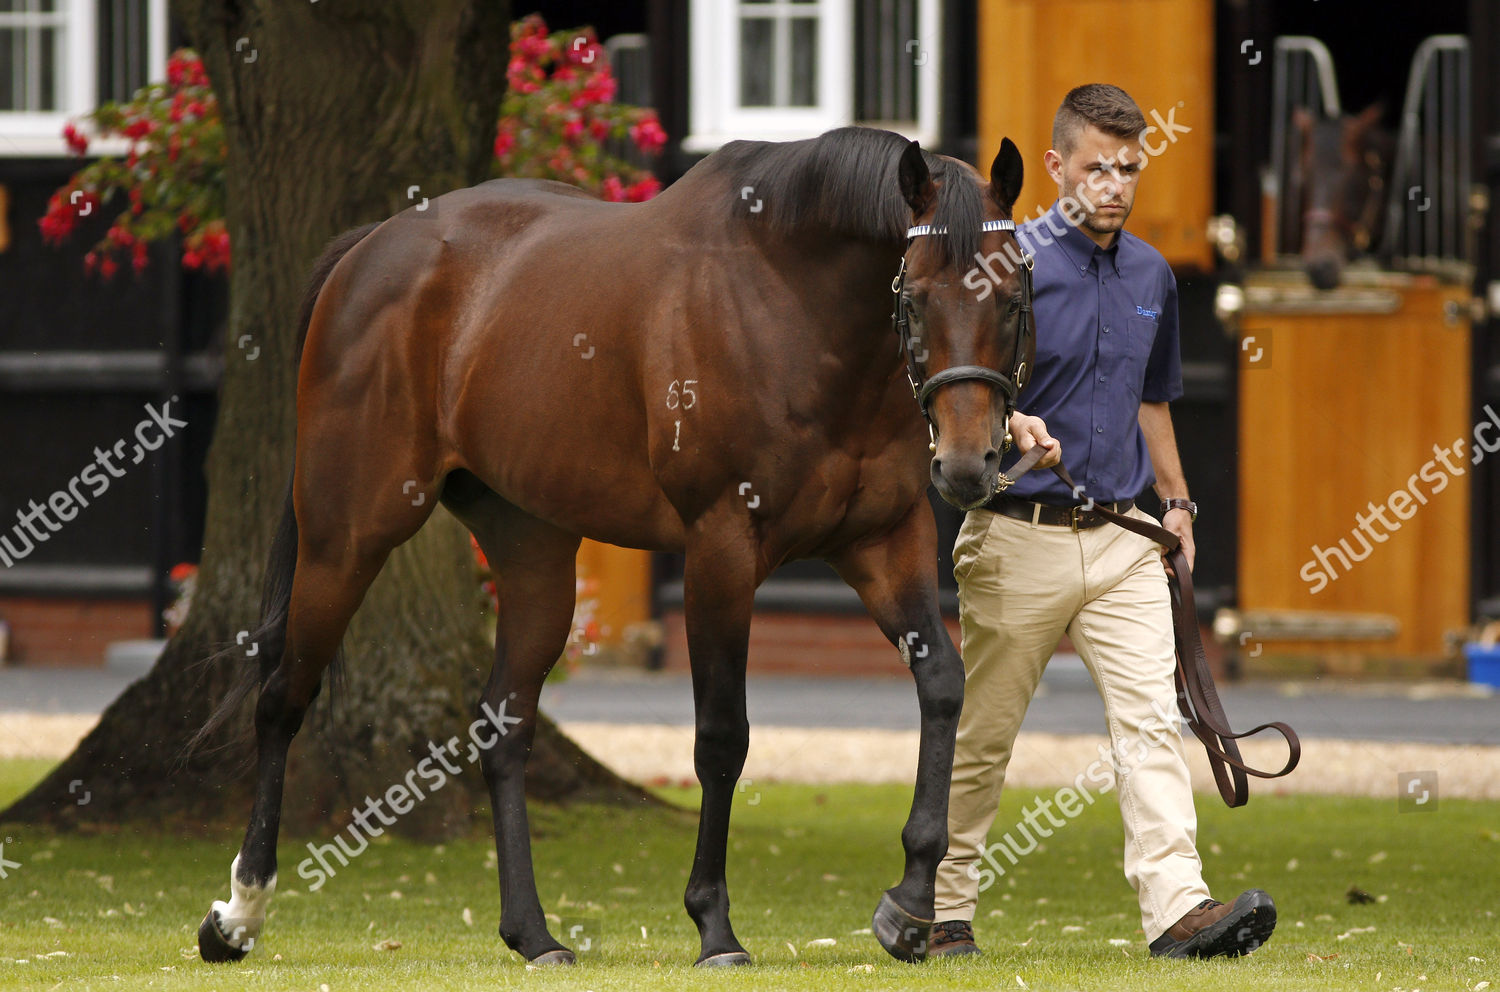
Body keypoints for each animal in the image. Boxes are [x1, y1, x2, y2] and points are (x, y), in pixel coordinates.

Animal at [193, 125, 1034, 968]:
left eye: (1014, 296)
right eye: (915, 299)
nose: (969, 465)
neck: (791, 302)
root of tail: (370, 251)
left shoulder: (885, 540)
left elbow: (944, 686)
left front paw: (911, 906)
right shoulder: (721, 551)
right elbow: (722, 736)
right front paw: (714, 926)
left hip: (533, 552)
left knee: (504, 728)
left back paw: (533, 934)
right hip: (346, 536)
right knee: (282, 698)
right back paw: (237, 915)